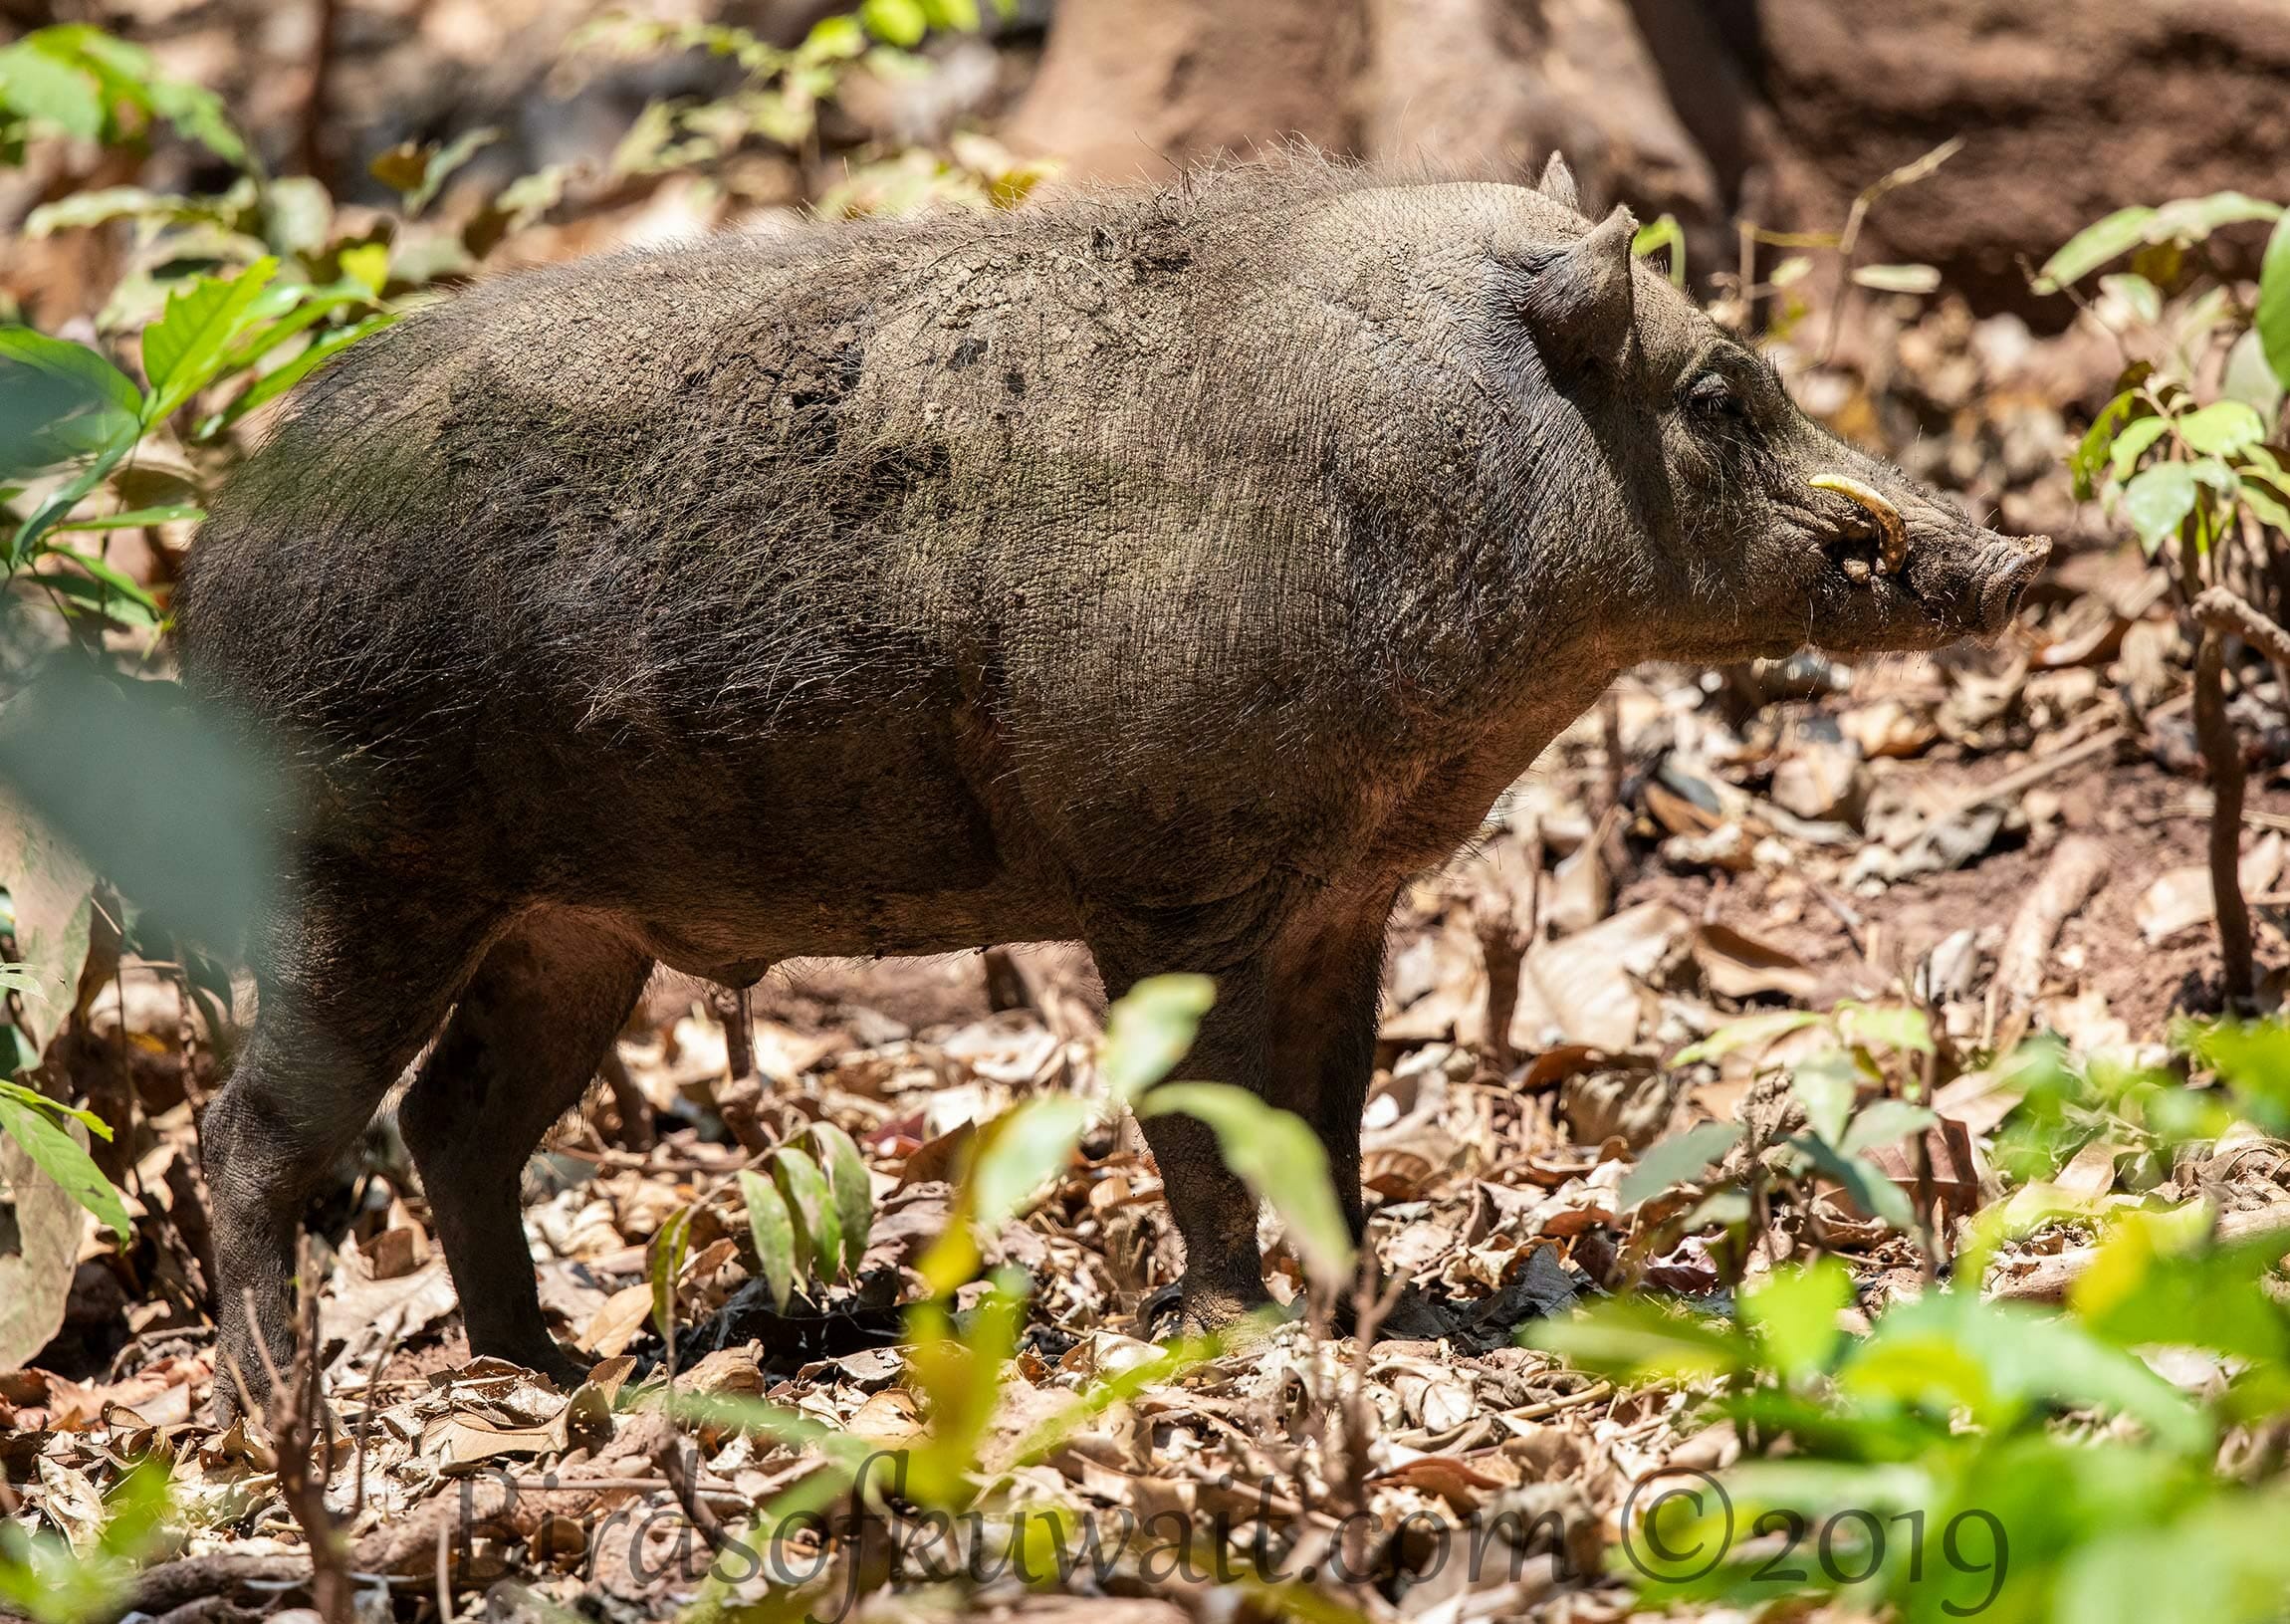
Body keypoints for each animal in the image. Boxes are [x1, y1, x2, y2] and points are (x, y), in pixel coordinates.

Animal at [177, 156, 2048, 1413]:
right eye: (1719, 394)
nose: (2018, 559)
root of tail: (210, 562)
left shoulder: (1347, 893)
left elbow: (1331, 1114)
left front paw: (1379, 1310)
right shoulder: (1168, 879)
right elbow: (1205, 1116)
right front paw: (1246, 1331)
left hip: (571, 924)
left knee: (456, 1119)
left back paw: (552, 1365)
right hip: (364, 866)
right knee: (256, 1133)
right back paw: (292, 1404)